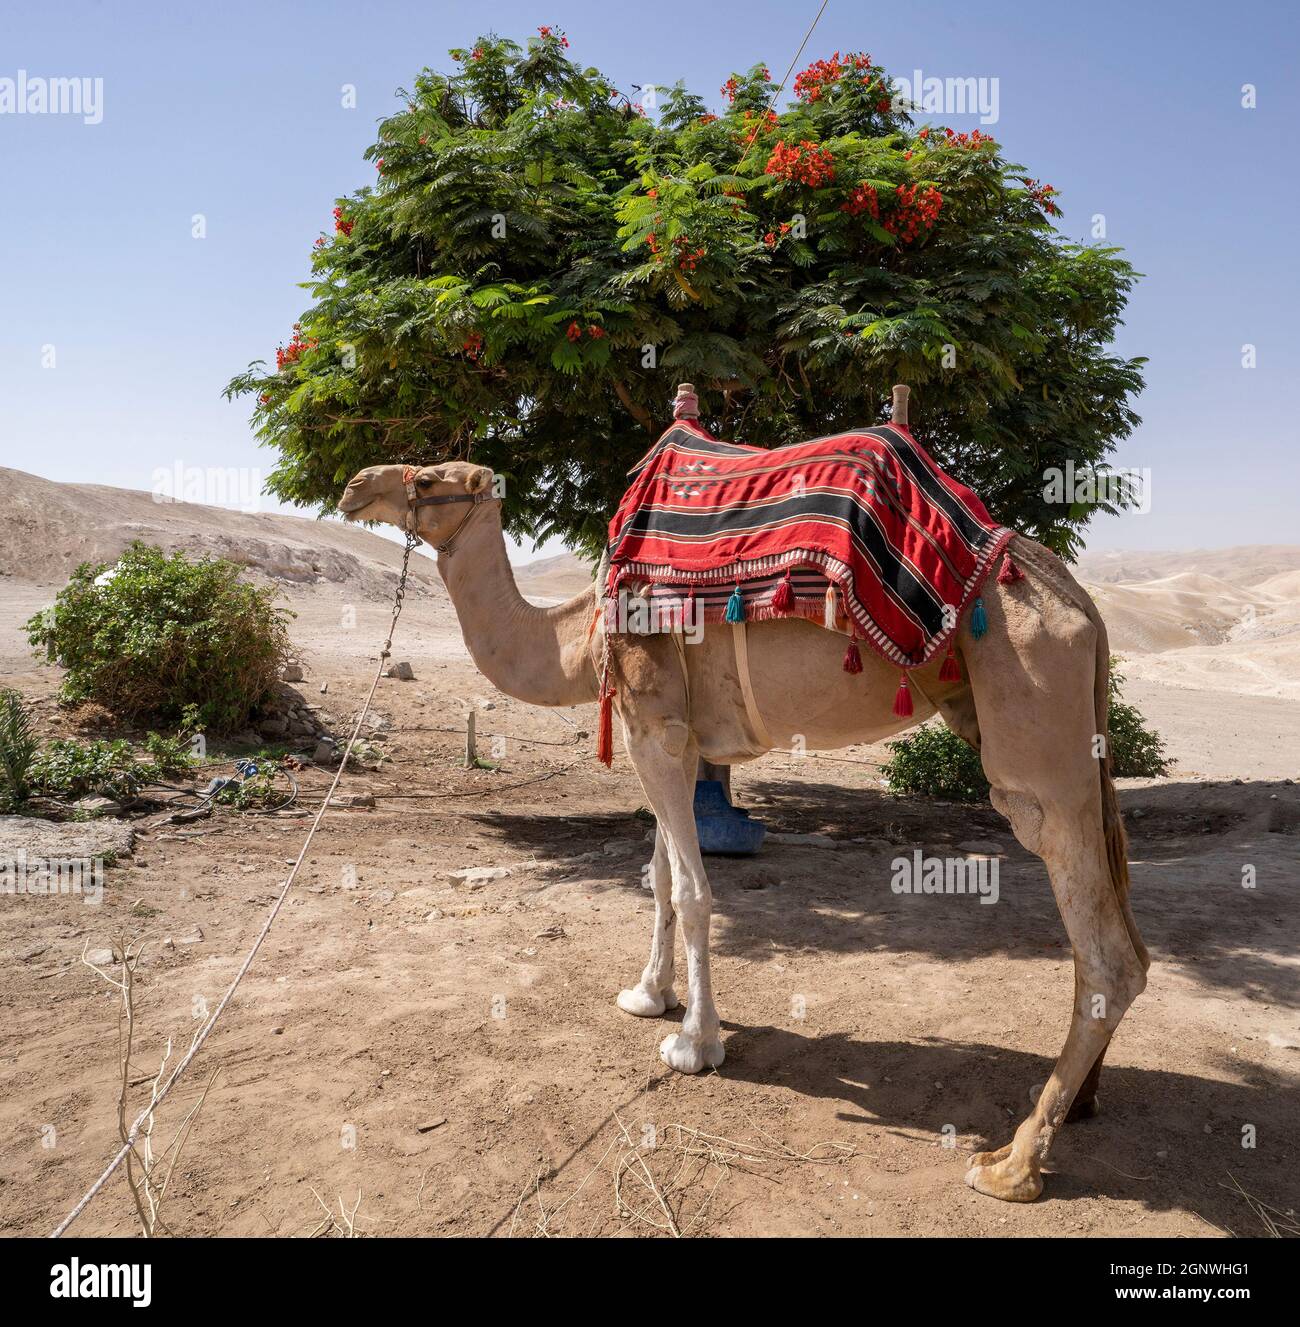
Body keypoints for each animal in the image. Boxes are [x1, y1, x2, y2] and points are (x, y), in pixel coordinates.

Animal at [339, 439, 1149, 1204]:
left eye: (427, 477)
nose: (353, 485)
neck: (582, 631)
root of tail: (1085, 606)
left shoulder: (654, 725)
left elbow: (695, 893)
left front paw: (694, 1046)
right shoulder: (675, 734)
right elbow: (661, 877)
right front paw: (649, 995)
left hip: (1034, 729)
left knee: (1110, 949)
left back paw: (1013, 1163)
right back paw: (1074, 1102)